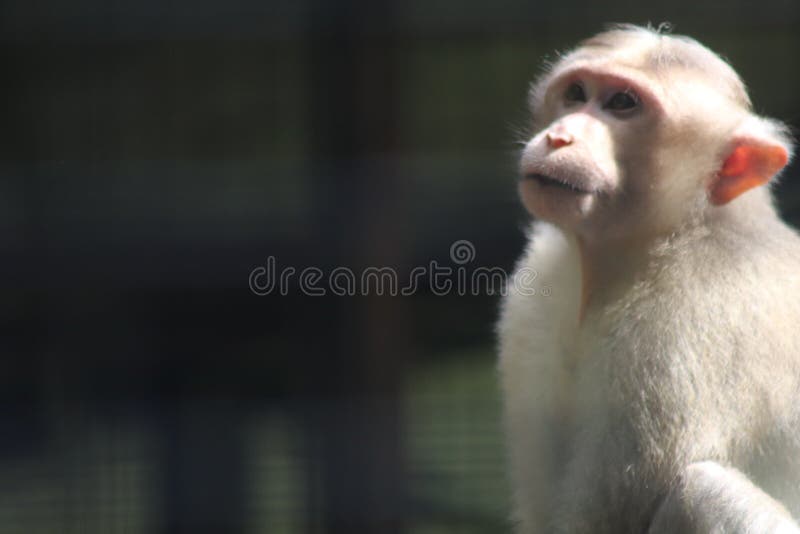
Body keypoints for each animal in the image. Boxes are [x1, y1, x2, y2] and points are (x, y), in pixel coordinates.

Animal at [497, 24, 800, 533]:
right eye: (577, 94)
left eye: (623, 103)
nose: (559, 137)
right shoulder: (541, 288)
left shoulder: (681, 328)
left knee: (702, 492)